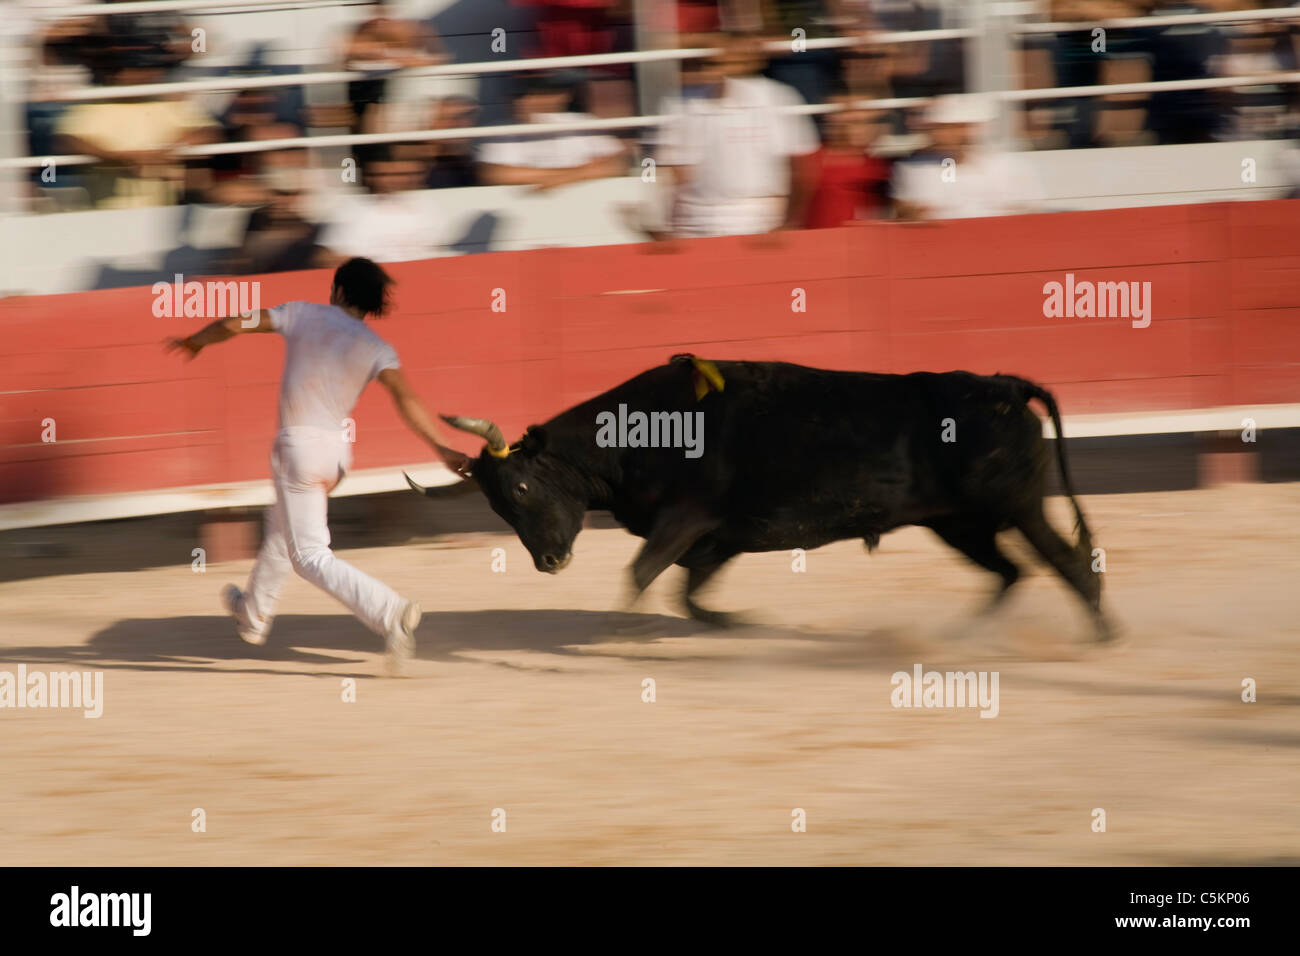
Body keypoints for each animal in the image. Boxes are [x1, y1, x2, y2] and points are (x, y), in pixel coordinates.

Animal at [407, 354, 1113, 641]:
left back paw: (1102, 635)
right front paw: (743, 623)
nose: (550, 563)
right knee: (1010, 572)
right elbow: (688, 596)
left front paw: (617, 633)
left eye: (524, 487)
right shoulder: (718, 536)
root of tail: (1003, 385)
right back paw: (959, 635)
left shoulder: (687, 519)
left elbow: (642, 576)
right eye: (497, 508)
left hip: (1017, 507)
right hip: (959, 523)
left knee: (1068, 565)